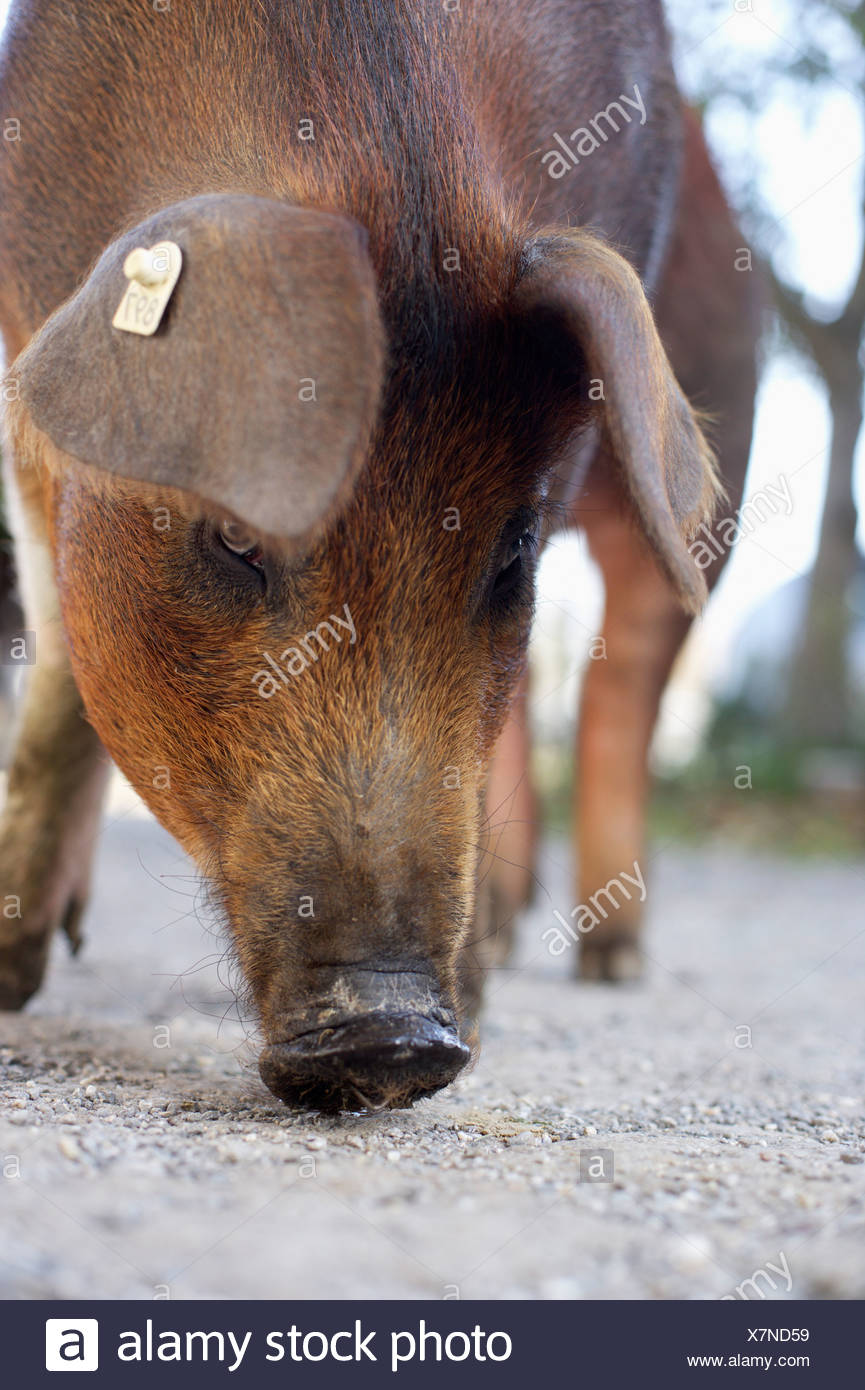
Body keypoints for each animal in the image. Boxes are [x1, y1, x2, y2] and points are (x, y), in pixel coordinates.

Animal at [0, 1, 757, 1110]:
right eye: (236, 537)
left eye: (511, 552)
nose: (398, 1038)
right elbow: (60, 667)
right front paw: (8, 980)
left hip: (709, 489)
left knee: (621, 689)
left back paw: (607, 965)